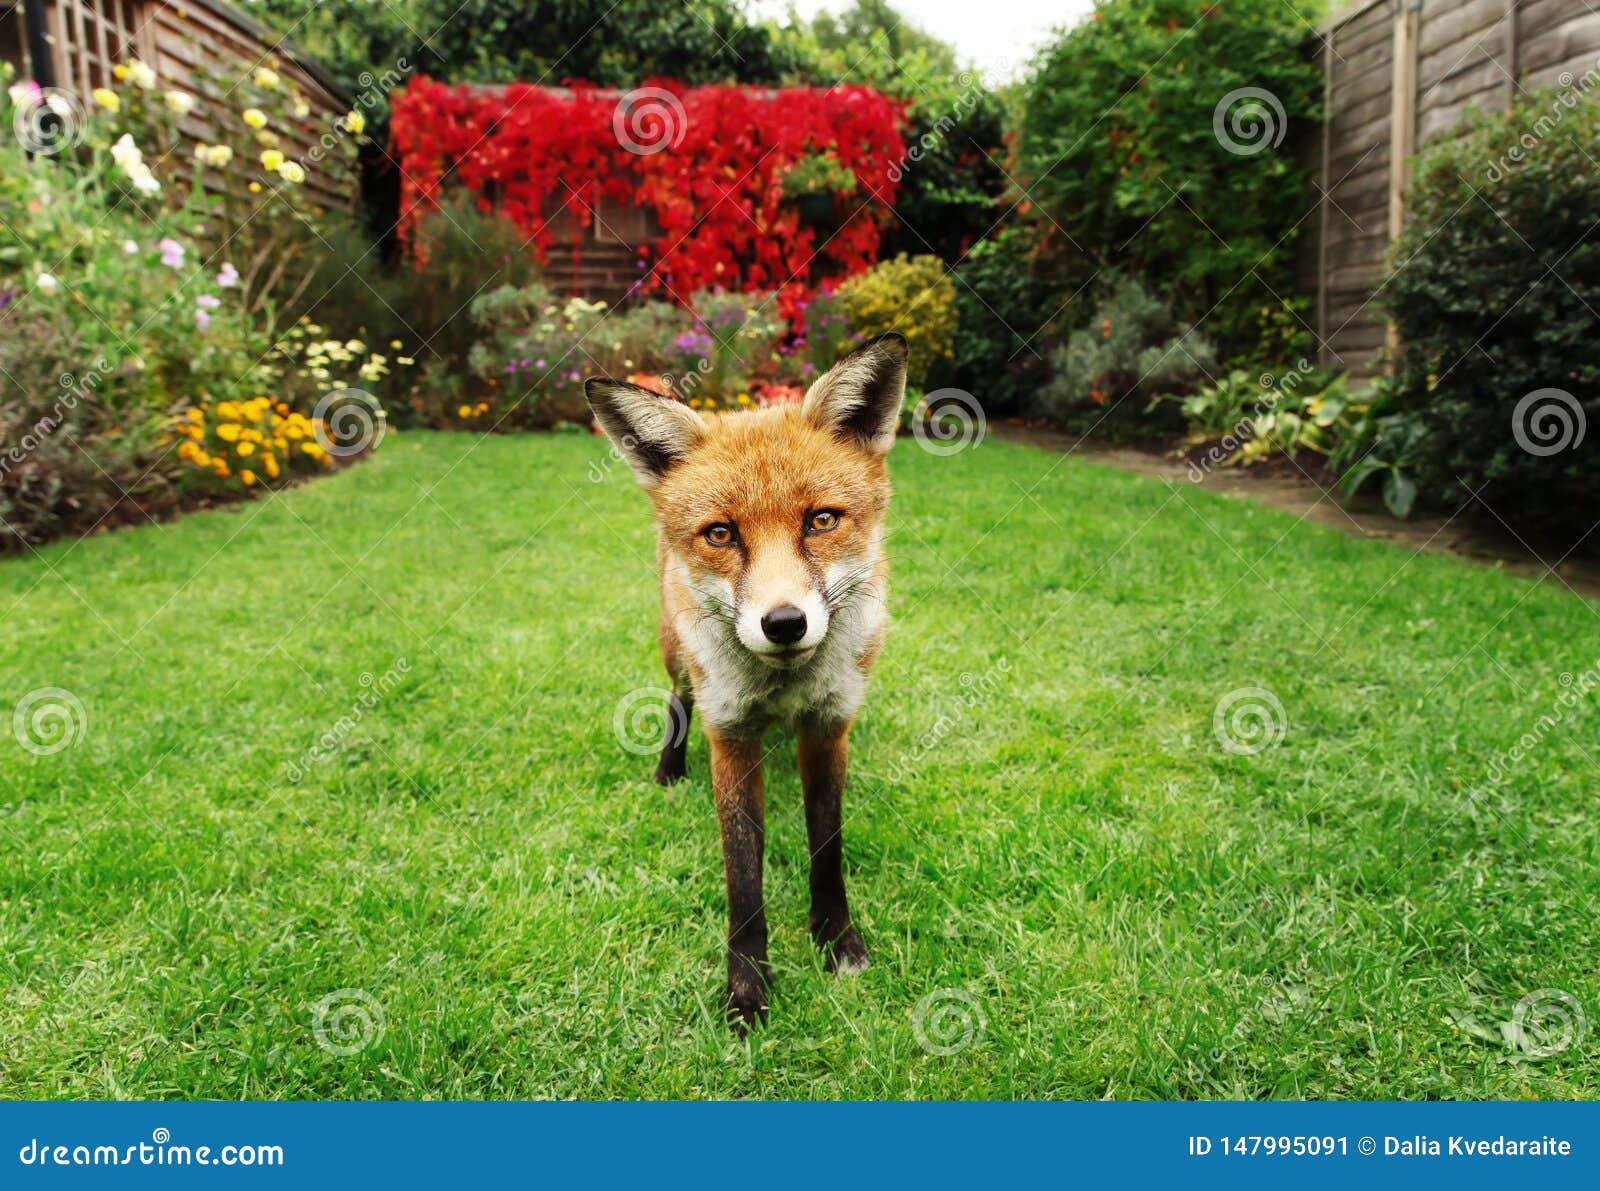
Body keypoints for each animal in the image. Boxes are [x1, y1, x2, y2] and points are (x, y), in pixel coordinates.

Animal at [585, 332, 908, 1031]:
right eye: (721, 533)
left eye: (821, 520)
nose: (783, 623)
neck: (782, 687)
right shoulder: (730, 736)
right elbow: (743, 875)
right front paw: (748, 986)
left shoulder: (828, 726)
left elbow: (826, 848)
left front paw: (836, 940)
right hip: (677, 653)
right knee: (677, 700)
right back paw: (669, 768)